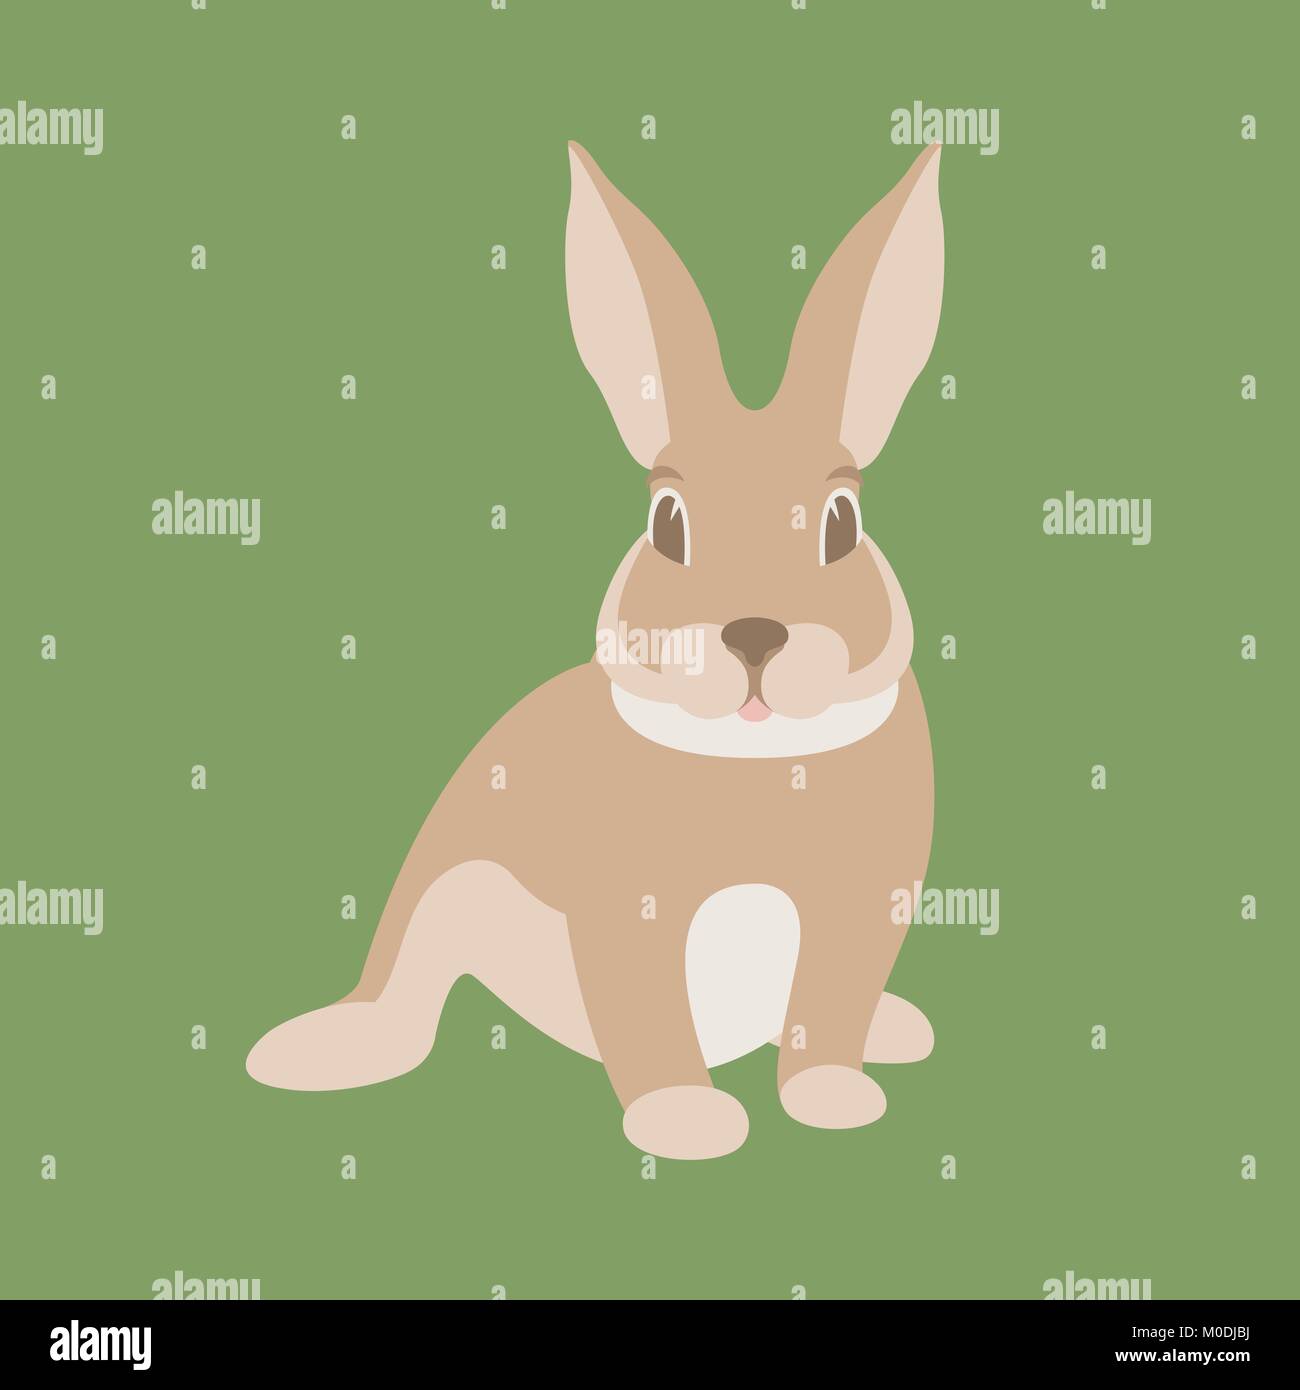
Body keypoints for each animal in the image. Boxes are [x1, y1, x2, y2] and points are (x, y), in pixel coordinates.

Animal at [247, 140, 944, 1160]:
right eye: (668, 524)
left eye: (842, 524)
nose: (755, 636)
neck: (761, 757)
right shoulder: (628, 916)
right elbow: (645, 1014)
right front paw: (686, 1120)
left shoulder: (862, 911)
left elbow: (832, 1011)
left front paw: (833, 1098)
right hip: (448, 893)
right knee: (406, 994)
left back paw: (898, 1029)